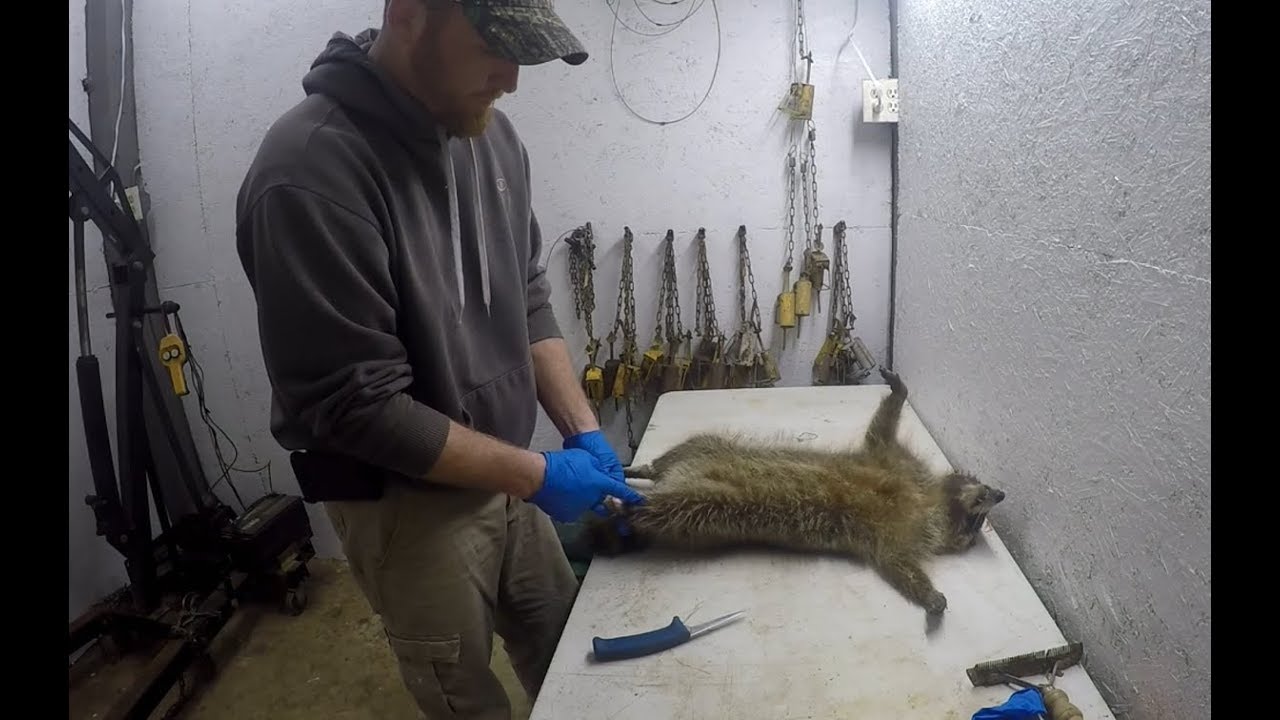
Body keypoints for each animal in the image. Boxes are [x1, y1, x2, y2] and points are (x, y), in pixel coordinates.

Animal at [587, 368, 1005, 615]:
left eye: (976, 525)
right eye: (981, 506)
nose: (1000, 494)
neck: (928, 499)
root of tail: (672, 478)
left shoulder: (897, 527)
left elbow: (895, 561)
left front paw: (927, 593)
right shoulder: (893, 464)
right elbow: (881, 431)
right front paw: (898, 391)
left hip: (709, 504)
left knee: (676, 501)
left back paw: (637, 492)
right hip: (706, 454)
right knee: (683, 457)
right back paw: (638, 479)